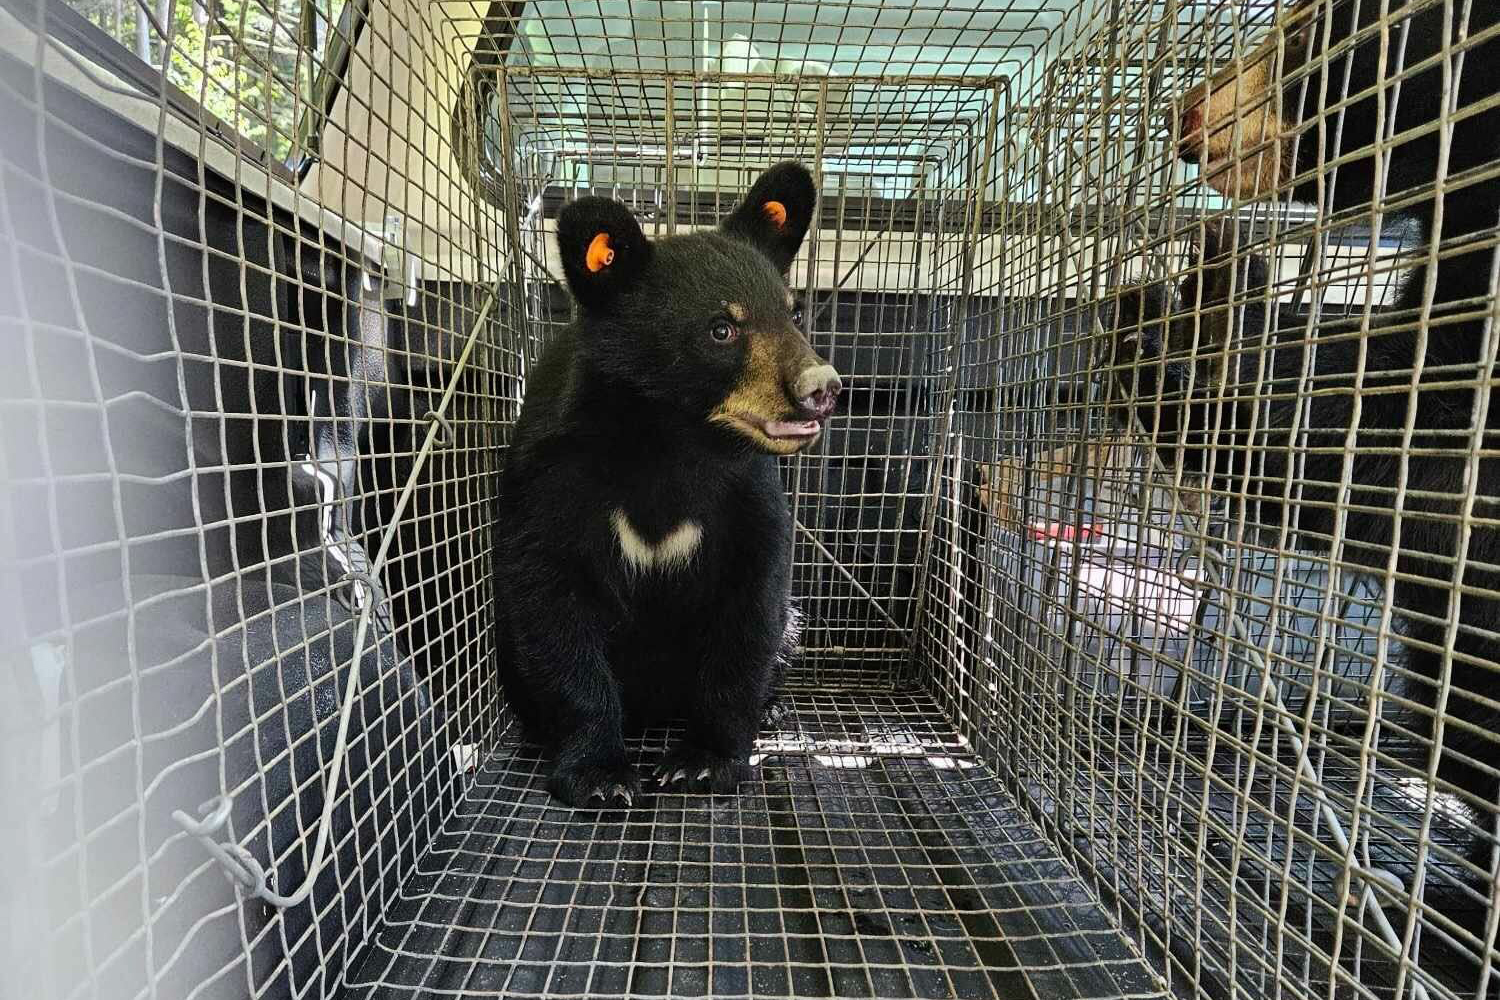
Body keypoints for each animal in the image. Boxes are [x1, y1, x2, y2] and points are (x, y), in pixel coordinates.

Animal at [494, 162, 841, 808]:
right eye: (722, 329)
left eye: (793, 313)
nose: (822, 388)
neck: (670, 441)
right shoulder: (552, 478)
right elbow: (550, 602)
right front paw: (600, 775)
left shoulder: (747, 492)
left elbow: (752, 607)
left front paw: (703, 761)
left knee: (781, 632)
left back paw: (771, 709)